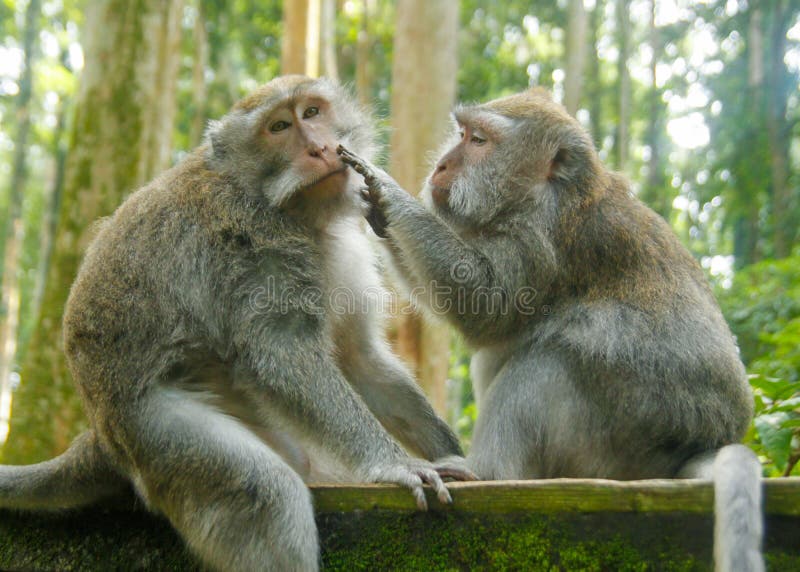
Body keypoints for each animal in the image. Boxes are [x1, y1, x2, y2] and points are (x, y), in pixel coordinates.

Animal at [0, 75, 474, 572]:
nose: (319, 148)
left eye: (312, 113)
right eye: (279, 127)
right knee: (266, 493)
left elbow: (360, 360)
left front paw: (455, 456)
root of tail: (98, 433)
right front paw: (395, 464)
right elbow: (280, 356)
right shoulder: (252, 247)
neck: (288, 208)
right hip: (152, 432)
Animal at [338, 86, 763, 571]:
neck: (541, 190)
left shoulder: (538, 238)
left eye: (478, 141)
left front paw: (385, 189)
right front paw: (376, 210)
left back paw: (486, 473)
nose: (442, 165)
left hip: (633, 427)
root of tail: (703, 443)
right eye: (461, 133)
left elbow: (484, 305)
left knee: (552, 357)